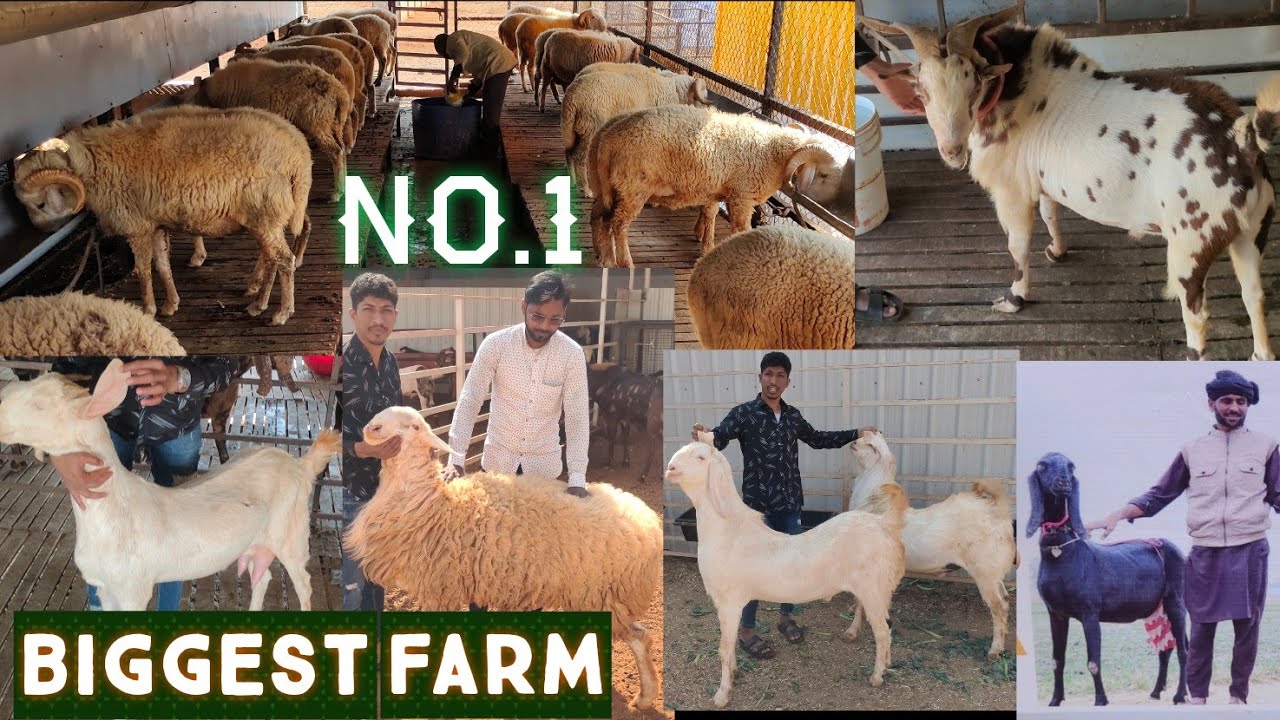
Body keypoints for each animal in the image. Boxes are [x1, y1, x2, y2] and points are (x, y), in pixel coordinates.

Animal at [849, 431, 1015, 658]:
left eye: (869, 444)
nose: (853, 442)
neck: (875, 501)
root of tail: (997, 511)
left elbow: (859, 602)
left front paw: (851, 631)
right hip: (994, 571)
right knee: (1006, 600)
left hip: (984, 572)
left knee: (998, 607)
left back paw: (994, 649)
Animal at [861, 4, 1280, 360]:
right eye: (921, 89)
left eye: (974, 83)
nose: (951, 151)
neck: (1021, 90)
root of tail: (1241, 136)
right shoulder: (1041, 180)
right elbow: (1051, 213)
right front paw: (1057, 251)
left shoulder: (1012, 192)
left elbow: (1017, 247)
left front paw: (1014, 298)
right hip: (1251, 232)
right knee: (1254, 294)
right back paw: (1260, 354)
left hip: (1191, 242)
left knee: (1197, 314)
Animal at [1027, 452, 1188, 706]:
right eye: (1042, 465)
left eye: (1071, 466)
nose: (1064, 482)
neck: (1061, 551)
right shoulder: (1056, 613)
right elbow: (1056, 660)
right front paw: (1055, 700)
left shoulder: (1090, 612)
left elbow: (1093, 662)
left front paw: (1101, 700)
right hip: (1158, 606)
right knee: (1166, 649)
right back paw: (1156, 691)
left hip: (1175, 601)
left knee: (1183, 649)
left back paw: (1180, 695)